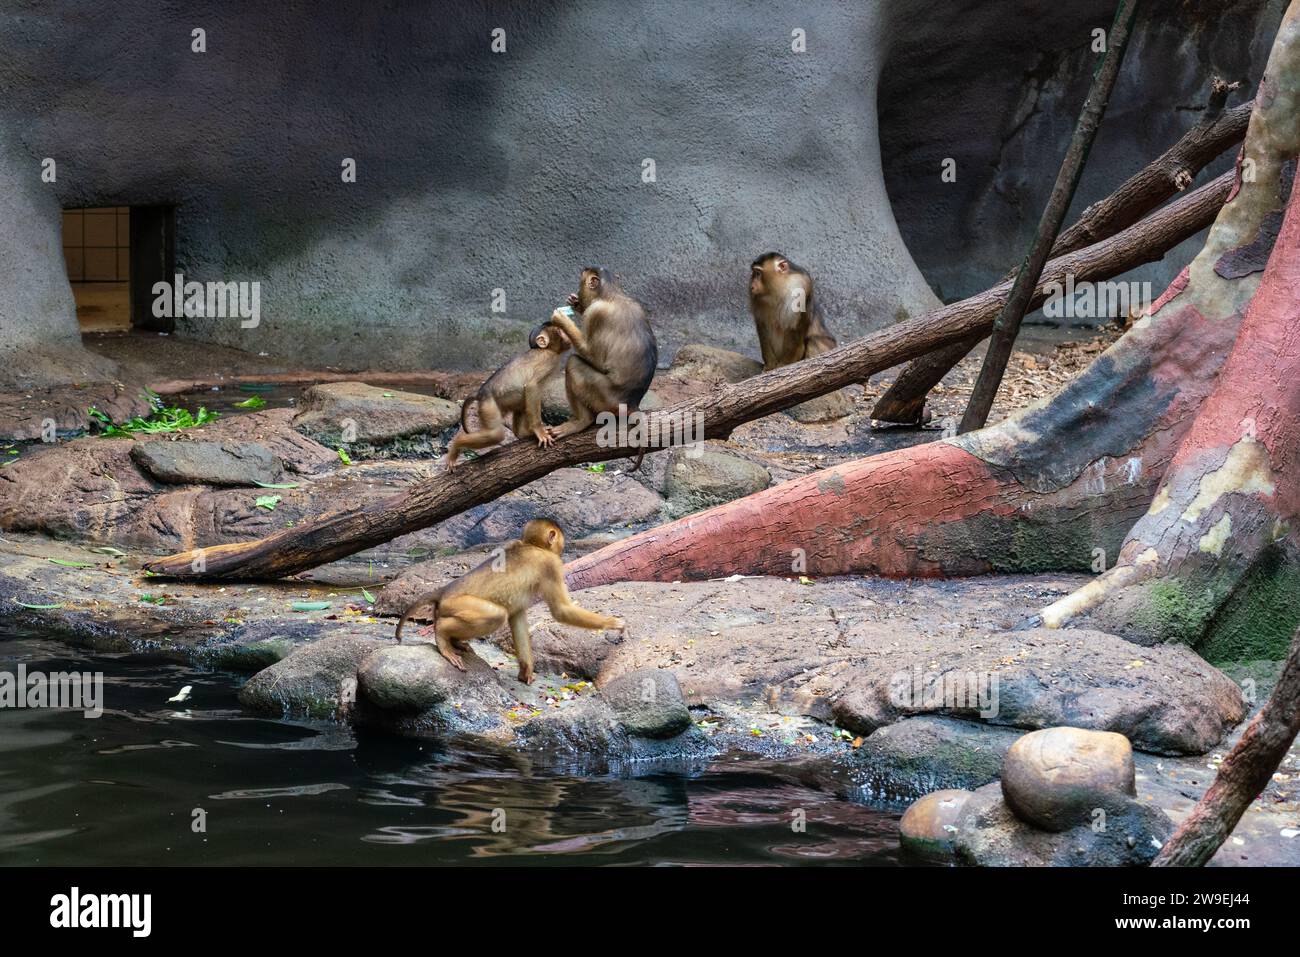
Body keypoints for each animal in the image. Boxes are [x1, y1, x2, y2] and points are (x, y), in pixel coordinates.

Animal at [394, 518, 624, 684]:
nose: (562, 547)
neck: (533, 545)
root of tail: (444, 590)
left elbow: (517, 616)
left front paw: (526, 670)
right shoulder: (550, 564)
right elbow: (561, 610)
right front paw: (613, 623)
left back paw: (455, 640)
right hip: (457, 603)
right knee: (495, 615)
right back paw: (442, 635)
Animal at [445, 322, 571, 470]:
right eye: (559, 330)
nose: (567, 333)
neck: (547, 349)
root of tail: (480, 393)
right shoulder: (548, 359)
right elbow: (532, 386)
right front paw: (539, 430)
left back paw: (523, 433)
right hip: (488, 405)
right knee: (495, 434)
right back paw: (457, 444)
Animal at [543, 267, 658, 467]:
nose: (577, 295)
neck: (612, 294)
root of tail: (632, 403)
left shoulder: (596, 313)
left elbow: (594, 358)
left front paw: (562, 319)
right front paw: (575, 303)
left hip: (605, 398)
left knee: (573, 364)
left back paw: (582, 421)